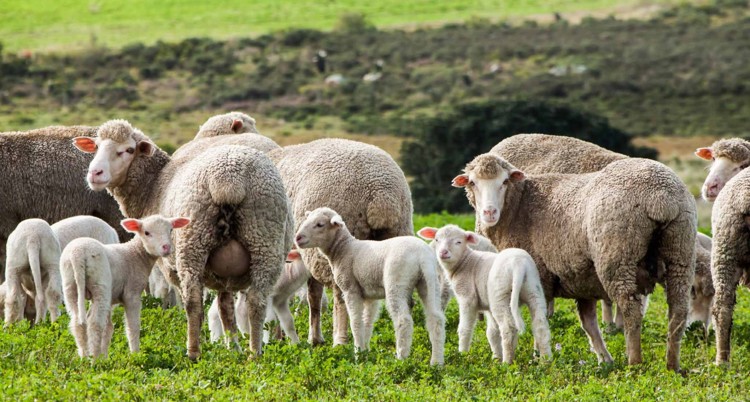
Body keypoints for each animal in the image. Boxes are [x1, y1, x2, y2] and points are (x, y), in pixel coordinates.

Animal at [60, 215, 190, 358]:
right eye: (146, 232)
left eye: (171, 230)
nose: (166, 247)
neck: (136, 254)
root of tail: (78, 254)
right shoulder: (132, 293)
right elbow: (133, 326)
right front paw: (135, 354)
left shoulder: (111, 298)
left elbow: (108, 328)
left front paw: (105, 356)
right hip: (100, 285)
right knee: (95, 323)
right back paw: (95, 359)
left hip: (70, 284)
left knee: (77, 322)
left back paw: (84, 357)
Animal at [293, 207, 445, 365]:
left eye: (320, 224)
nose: (298, 238)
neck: (343, 249)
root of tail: (421, 256)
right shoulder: (370, 294)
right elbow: (367, 321)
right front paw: (365, 351)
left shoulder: (350, 289)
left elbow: (356, 322)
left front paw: (358, 354)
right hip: (430, 281)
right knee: (436, 318)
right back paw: (437, 362)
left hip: (397, 282)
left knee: (403, 320)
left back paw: (401, 358)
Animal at [417, 225, 551, 363]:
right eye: (437, 240)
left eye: (458, 242)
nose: (443, 253)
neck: (465, 262)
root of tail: (519, 265)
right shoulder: (487, 305)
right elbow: (492, 332)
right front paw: (496, 357)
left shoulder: (467, 297)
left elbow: (465, 328)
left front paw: (462, 354)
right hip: (533, 290)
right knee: (540, 325)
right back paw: (545, 361)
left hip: (500, 296)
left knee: (508, 328)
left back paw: (507, 363)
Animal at [453, 153, 696, 371]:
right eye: (473, 182)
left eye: (504, 182)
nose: (489, 212)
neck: (518, 206)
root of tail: (661, 196)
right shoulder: (581, 280)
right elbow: (589, 324)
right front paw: (604, 360)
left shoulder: (540, 276)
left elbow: (540, 317)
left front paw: (538, 356)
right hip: (681, 251)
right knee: (678, 310)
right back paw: (672, 365)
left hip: (617, 256)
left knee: (630, 310)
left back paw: (634, 363)